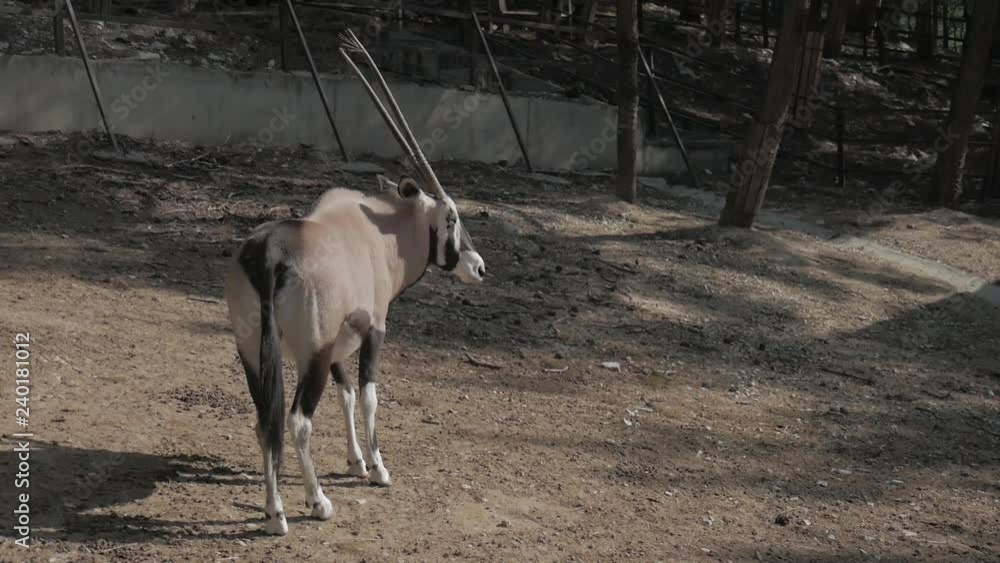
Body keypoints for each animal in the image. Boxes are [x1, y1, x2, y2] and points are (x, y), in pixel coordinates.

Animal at [224, 30, 486, 536]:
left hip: (254, 352)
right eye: (451, 217)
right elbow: (368, 397)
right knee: (296, 421)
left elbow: (345, 395)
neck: (381, 234)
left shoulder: (339, 346)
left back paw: (273, 510)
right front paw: (378, 468)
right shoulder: (372, 330)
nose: (479, 267)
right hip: (312, 351)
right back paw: (312, 504)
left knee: (264, 421)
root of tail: (268, 255)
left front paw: (356, 461)